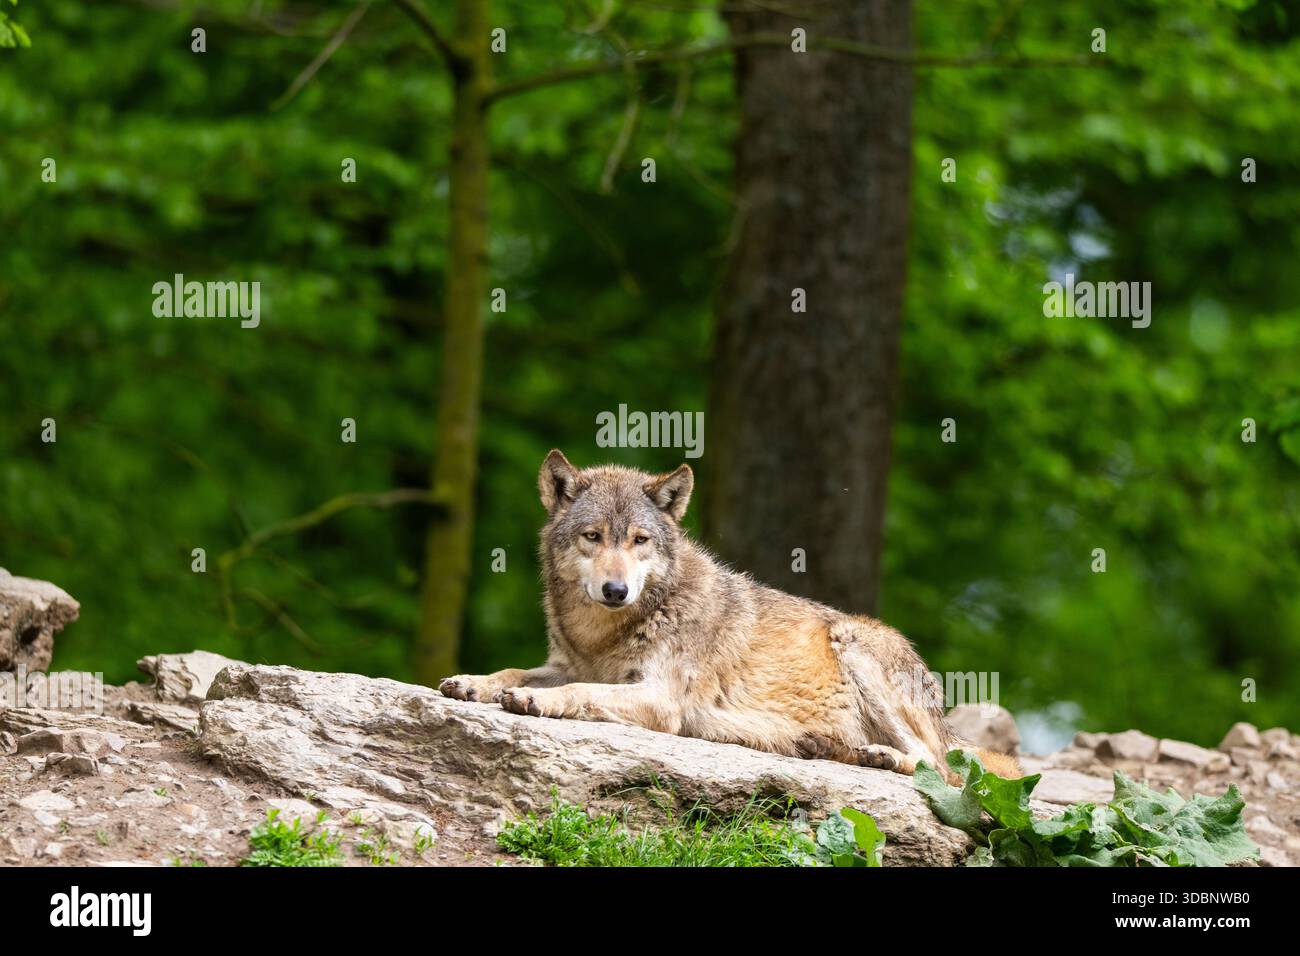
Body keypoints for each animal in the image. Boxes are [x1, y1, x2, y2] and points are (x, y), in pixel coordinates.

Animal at [440, 450, 1019, 780]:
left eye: (639, 540)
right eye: (593, 536)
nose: (616, 589)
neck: (606, 634)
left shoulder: (660, 700)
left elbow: (578, 692)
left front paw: (537, 701)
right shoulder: (565, 664)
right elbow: (514, 671)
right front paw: (473, 682)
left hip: (854, 644)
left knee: (934, 765)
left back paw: (878, 757)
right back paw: (829, 748)